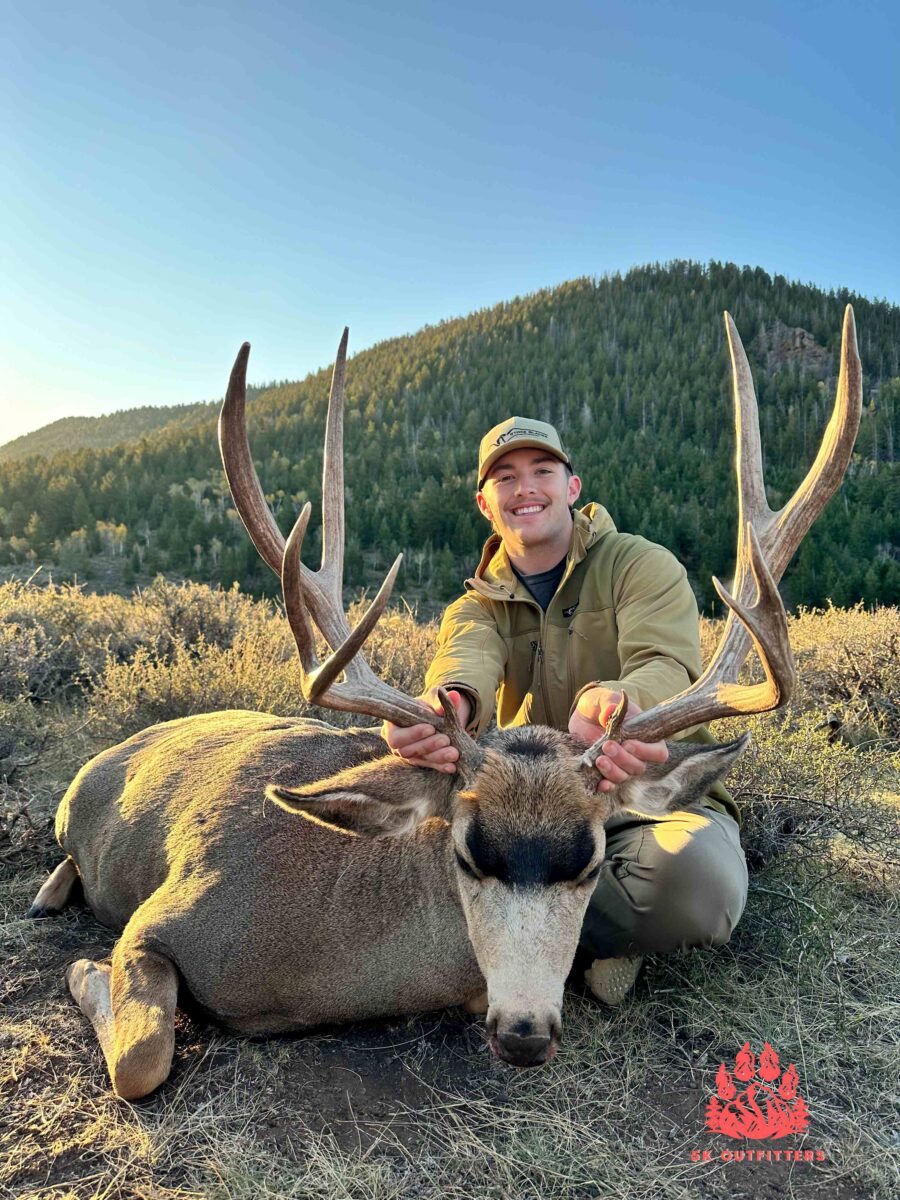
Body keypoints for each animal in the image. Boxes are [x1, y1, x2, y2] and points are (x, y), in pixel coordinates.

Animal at [27, 309, 861, 1100]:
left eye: (591, 862)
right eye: (466, 852)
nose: (525, 1034)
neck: (330, 961)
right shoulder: (162, 916)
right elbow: (141, 1058)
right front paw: (81, 970)